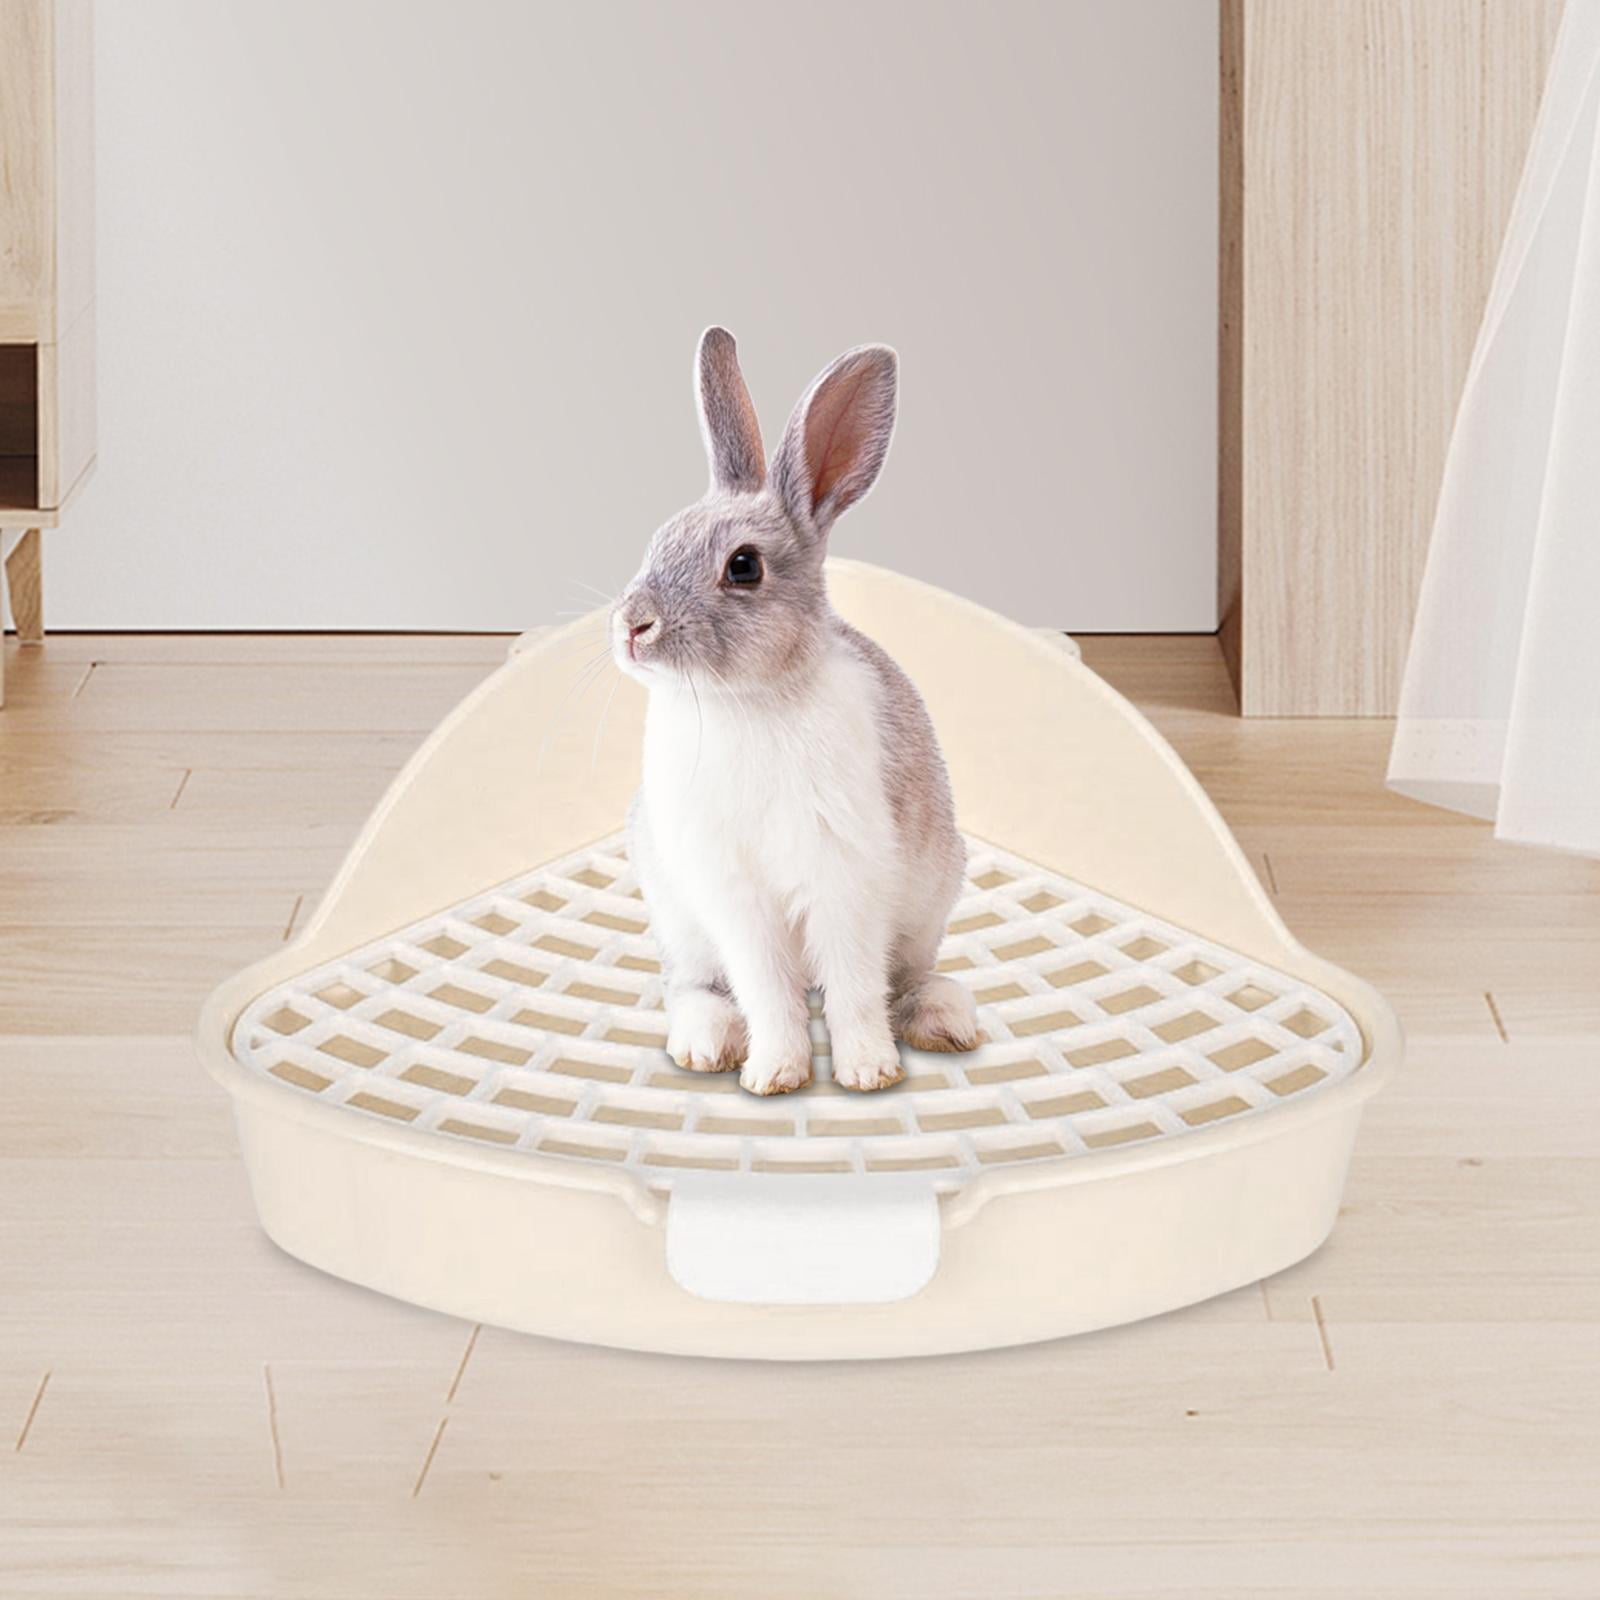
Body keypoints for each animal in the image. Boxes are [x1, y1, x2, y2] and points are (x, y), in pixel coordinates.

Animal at [610, 327, 978, 1095]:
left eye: (744, 566)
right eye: (658, 540)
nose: (632, 626)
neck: (746, 701)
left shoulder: (845, 879)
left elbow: (855, 985)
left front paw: (869, 1072)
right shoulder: (735, 898)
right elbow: (766, 989)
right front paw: (774, 1074)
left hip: (930, 904)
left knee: (905, 978)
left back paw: (945, 1021)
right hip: (679, 919)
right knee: (692, 987)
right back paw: (705, 1045)